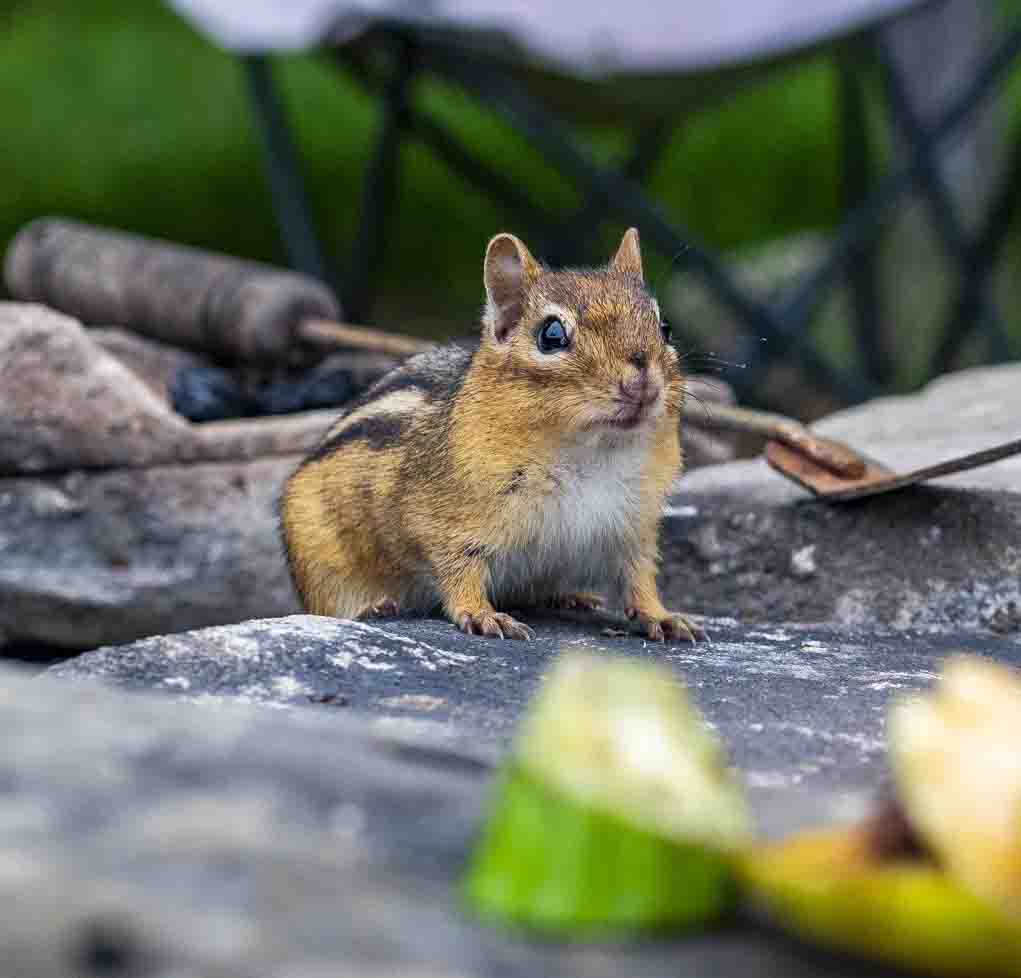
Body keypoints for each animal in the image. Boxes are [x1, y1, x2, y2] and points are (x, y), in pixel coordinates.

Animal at [280, 228, 704, 642]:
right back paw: (374, 606)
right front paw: (482, 614)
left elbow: (639, 577)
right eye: (551, 335)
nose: (642, 378)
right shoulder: (443, 521)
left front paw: (662, 616)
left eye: (664, 328)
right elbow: (458, 570)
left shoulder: (633, 528)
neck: (590, 453)